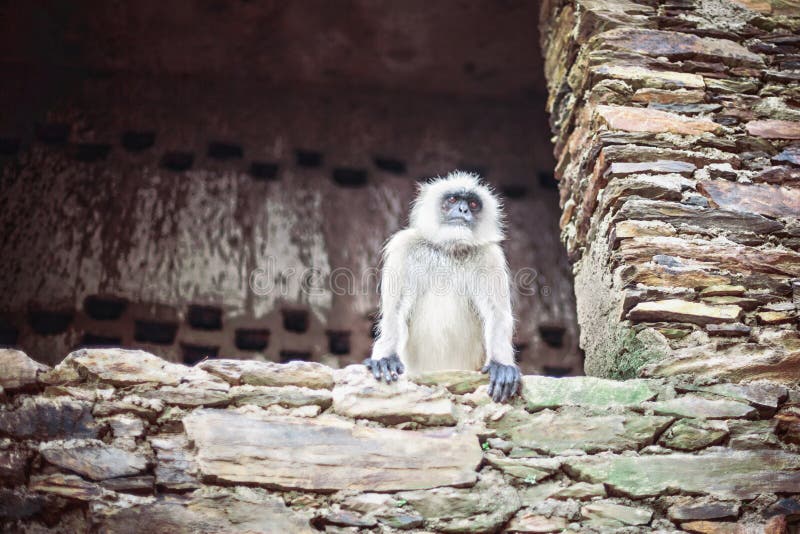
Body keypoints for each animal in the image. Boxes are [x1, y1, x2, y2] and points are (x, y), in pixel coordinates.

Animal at [364, 171, 520, 402]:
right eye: (453, 200)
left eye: (473, 204)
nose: (463, 210)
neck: (448, 250)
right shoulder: (405, 246)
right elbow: (394, 312)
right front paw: (386, 357)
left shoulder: (490, 255)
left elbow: (498, 314)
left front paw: (500, 364)